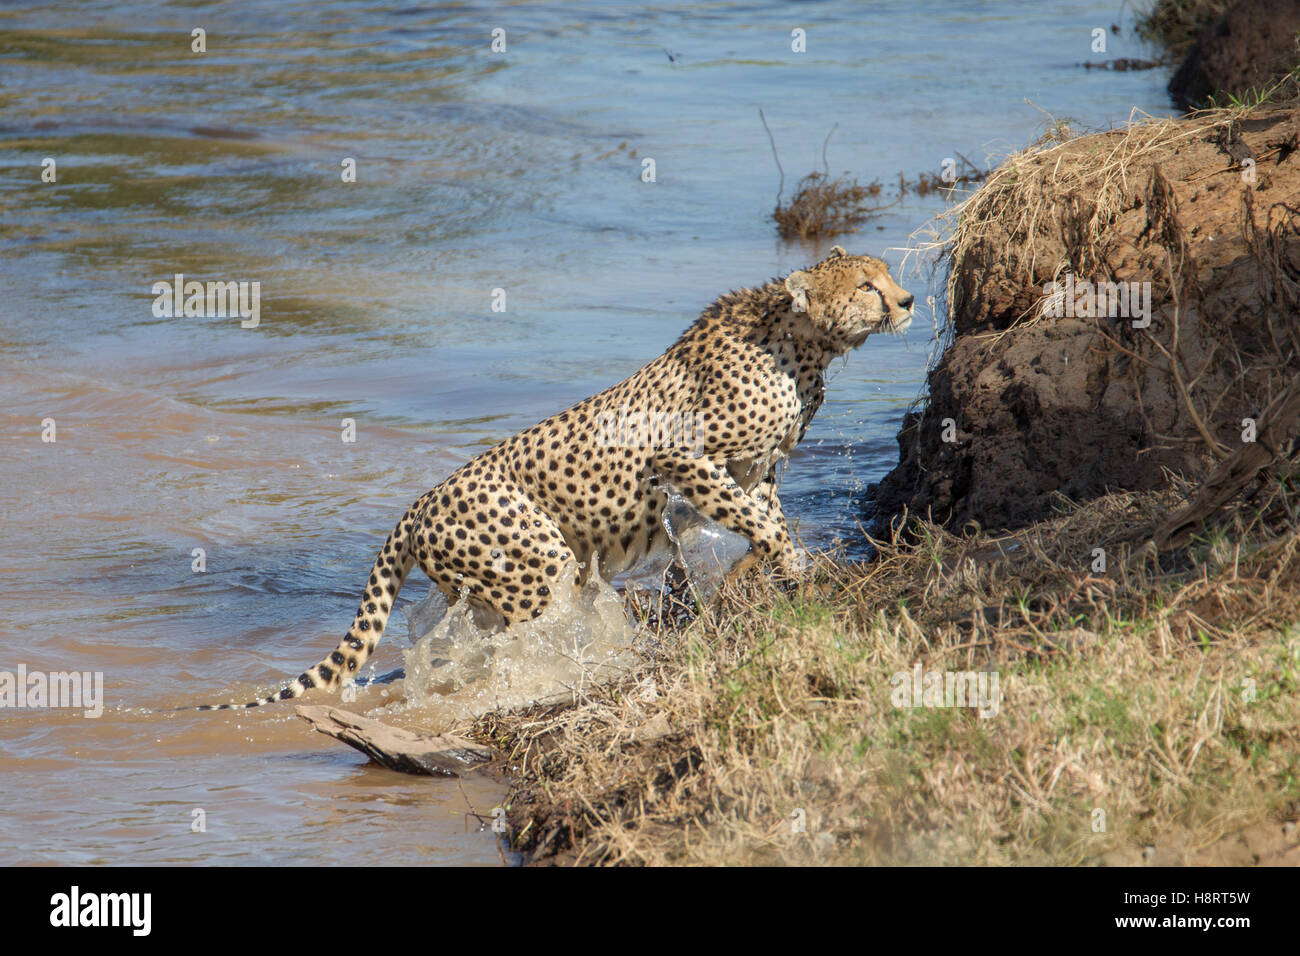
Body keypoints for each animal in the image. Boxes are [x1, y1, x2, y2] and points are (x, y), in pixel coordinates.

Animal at [199, 246, 914, 709]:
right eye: (866, 285)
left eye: (885, 273)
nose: (907, 300)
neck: (804, 344)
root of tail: (419, 502)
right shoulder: (683, 459)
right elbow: (760, 523)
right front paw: (796, 570)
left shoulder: (756, 467)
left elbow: (763, 520)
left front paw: (763, 580)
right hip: (535, 559)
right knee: (525, 634)